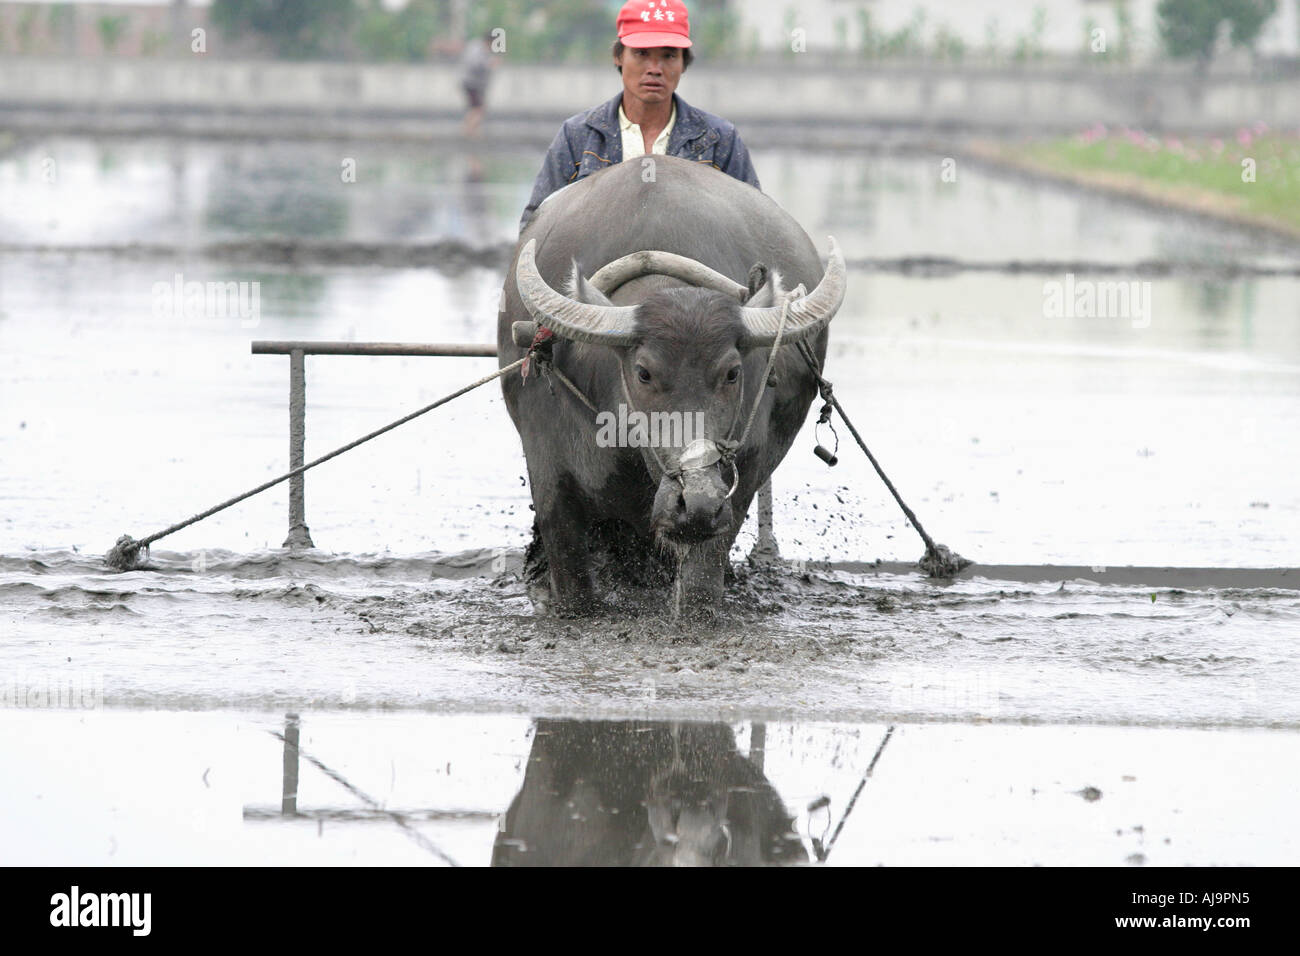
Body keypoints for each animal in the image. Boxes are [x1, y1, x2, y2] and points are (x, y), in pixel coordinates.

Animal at [499, 155, 845, 617]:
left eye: (732, 372)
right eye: (644, 372)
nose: (696, 500)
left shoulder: (735, 485)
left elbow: (699, 586)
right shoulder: (550, 476)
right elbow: (574, 589)